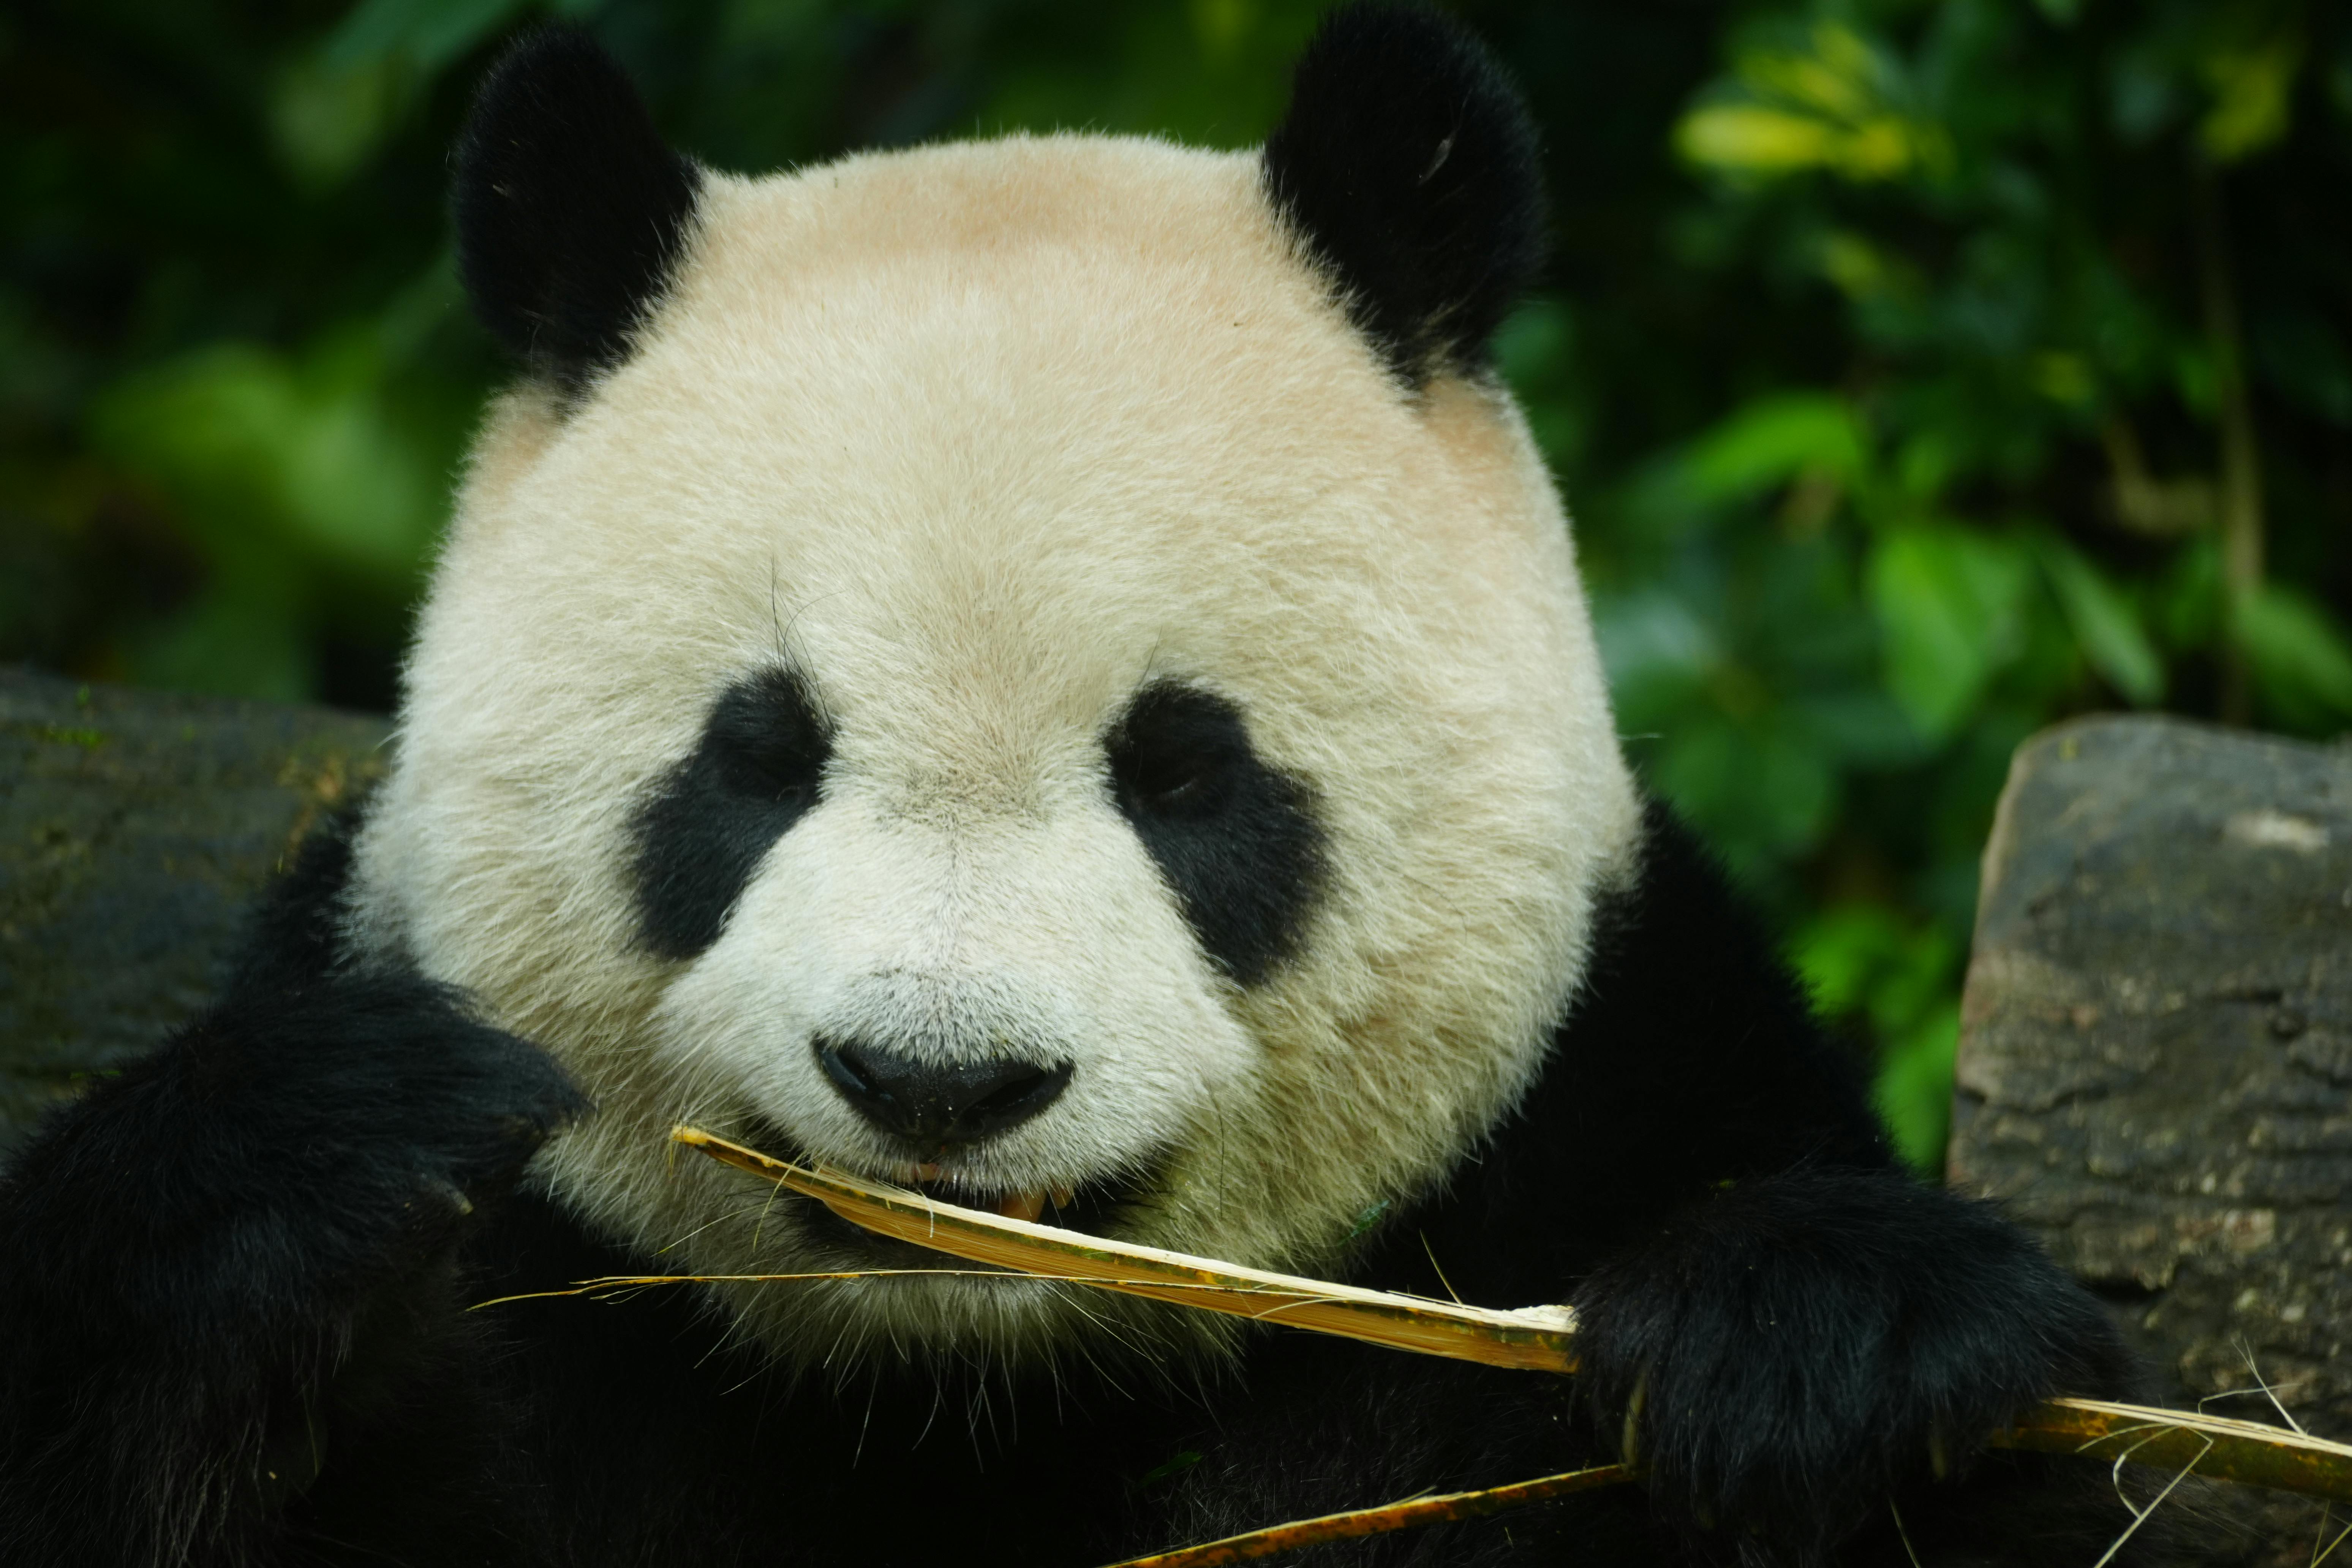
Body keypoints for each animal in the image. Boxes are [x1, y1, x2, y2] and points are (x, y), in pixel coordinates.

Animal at [0, 6, 2167, 1565]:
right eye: (753, 760)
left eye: (1188, 775)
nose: (936, 1083)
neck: (968, 1390)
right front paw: (321, 1162)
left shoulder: (1605, 1097)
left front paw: (1806, 1355)